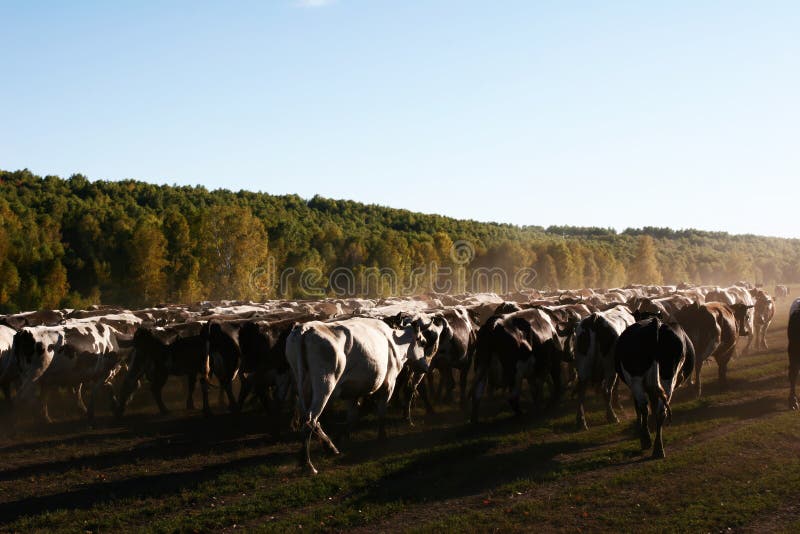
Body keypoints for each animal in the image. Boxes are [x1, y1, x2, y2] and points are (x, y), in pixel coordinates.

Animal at [286, 313, 445, 474]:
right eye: (423, 342)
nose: (426, 367)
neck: (394, 343)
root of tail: (305, 329)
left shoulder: (353, 393)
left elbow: (352, 417)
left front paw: (341, 437)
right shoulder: (388, 384)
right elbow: (381, 412)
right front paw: (382, 437)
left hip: (303, 387)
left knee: (311, 419)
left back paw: (329, 448)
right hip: (325, 385)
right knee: (310, 420)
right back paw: (308, 464)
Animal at [615, 317, 695, 458]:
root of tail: (655, 323)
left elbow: (639, 409)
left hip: (635, 378)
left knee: (643, 407)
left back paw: (646, 440)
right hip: (668, 377)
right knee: (661, 410)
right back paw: (658, 448)